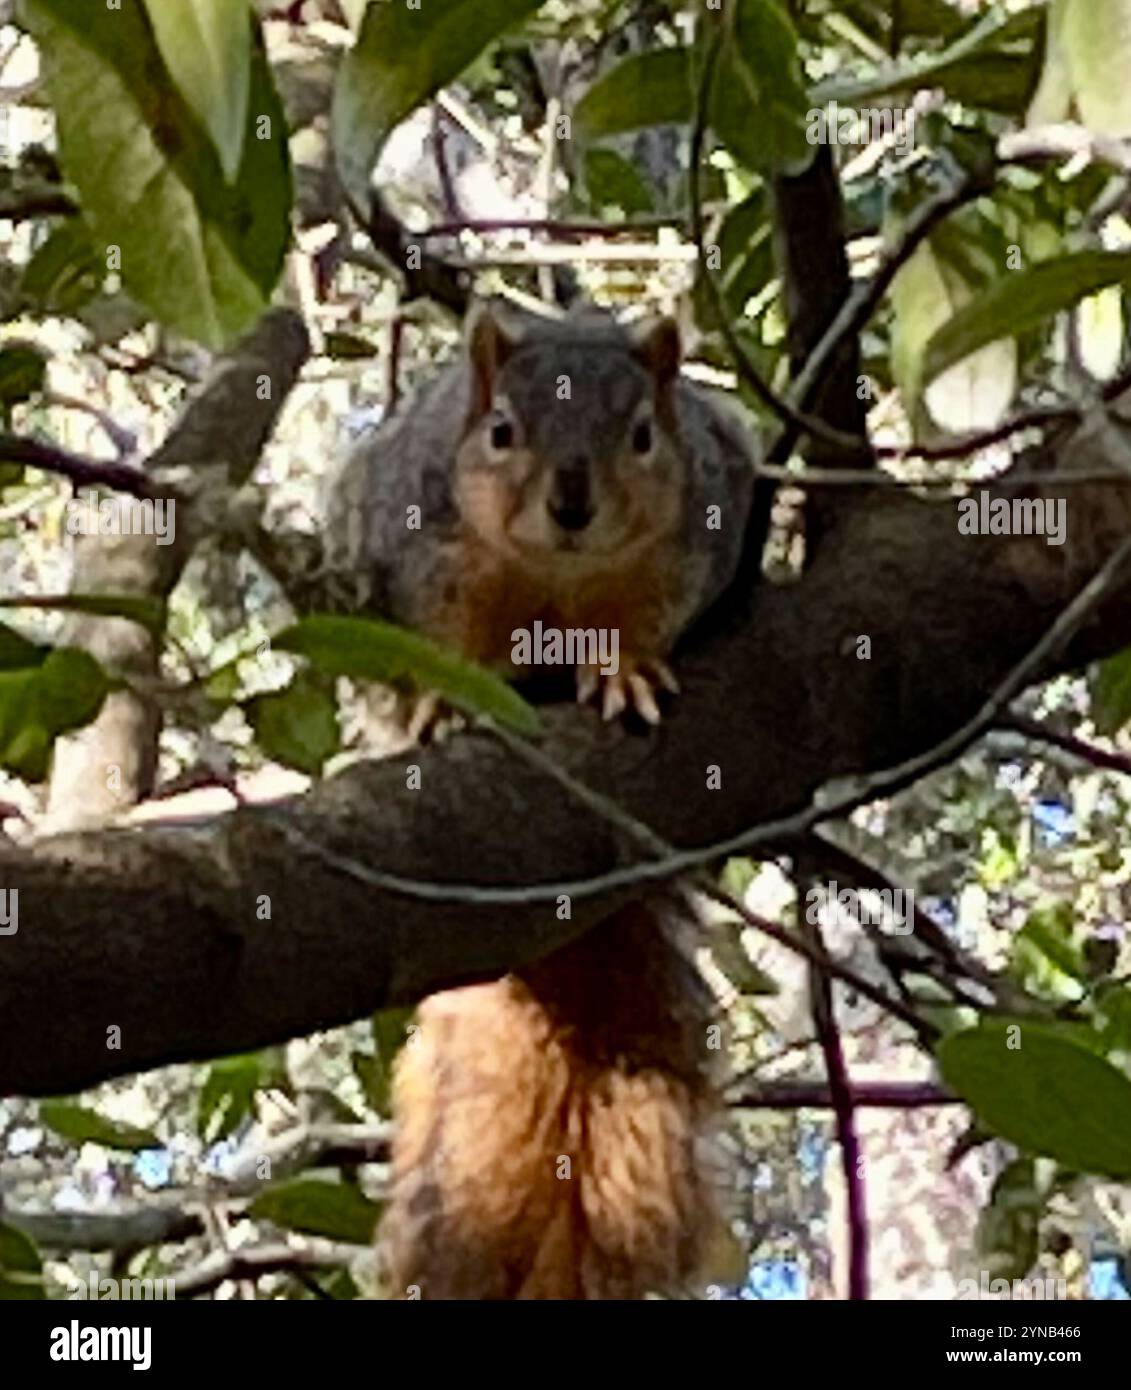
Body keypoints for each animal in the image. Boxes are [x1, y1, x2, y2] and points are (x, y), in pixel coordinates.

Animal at [325, 303, 756, 1298]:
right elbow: (444, 639)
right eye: (500, 432)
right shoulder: (424, 547)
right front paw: (444, 701)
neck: (557, 576)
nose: (569, 505)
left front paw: (627, 671)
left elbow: (645, 621)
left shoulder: (690, 539)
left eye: (642, 435)